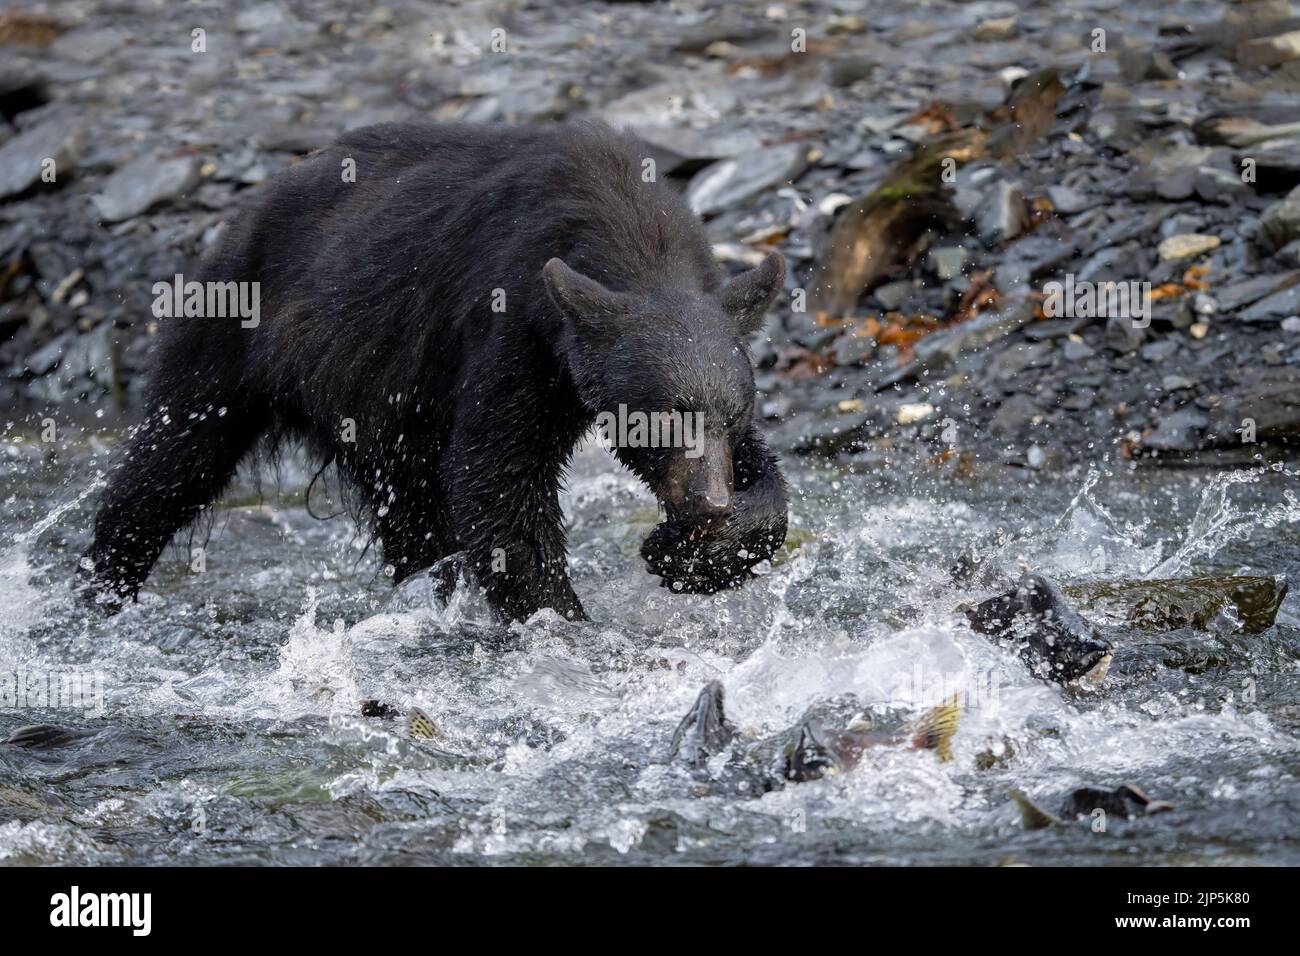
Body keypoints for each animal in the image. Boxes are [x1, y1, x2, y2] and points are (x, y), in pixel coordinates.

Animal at [80, 121, 789, 622]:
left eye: (732, 415)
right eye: (662, 418)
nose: (708, 500)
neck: (631, 233)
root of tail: (244, 210)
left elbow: (766, 473)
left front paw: (697, 550)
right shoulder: (515, 326)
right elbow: (496, 474)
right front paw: (564, 625)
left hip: (380, 411)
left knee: (413, 513)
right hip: (232, 325)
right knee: (174, 460)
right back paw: (103, 588)